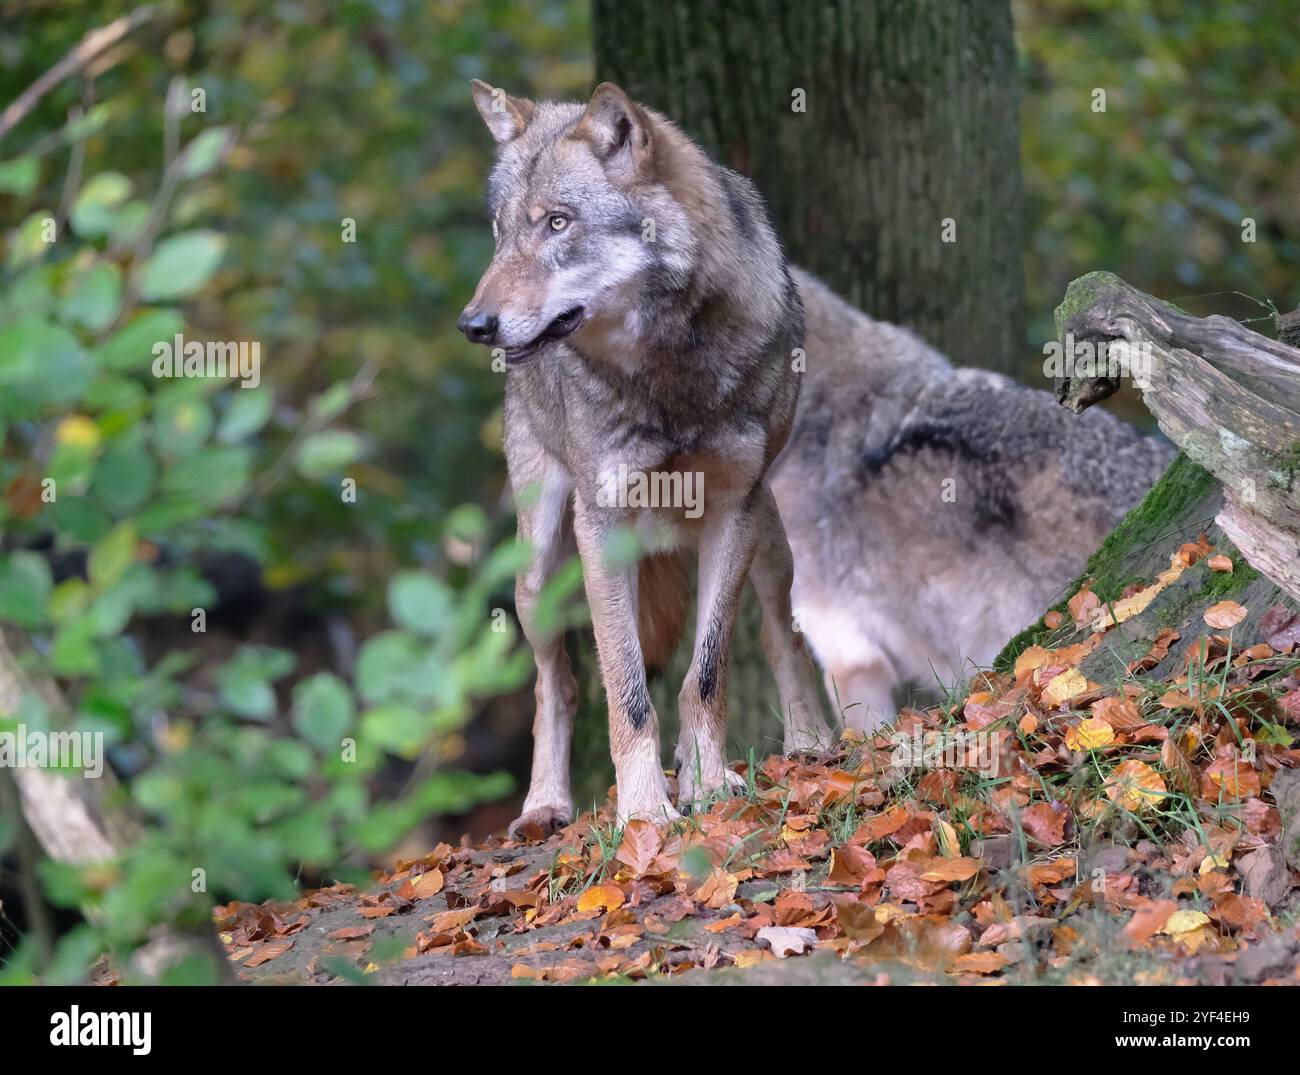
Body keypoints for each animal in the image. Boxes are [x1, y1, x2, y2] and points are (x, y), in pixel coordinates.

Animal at [459, 80, 1173, 835]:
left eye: (558, 224)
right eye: (501, 232)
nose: (473, 325)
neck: (673, 380)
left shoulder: (757, 534)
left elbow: (705, 676)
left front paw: (708, 789)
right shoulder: (608, 526)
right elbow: (627, 691)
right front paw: (646, 814)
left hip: (769, 545)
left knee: (774, 636)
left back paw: (800, 746)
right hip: (540, 566)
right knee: (556, 683)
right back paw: (545, 805)